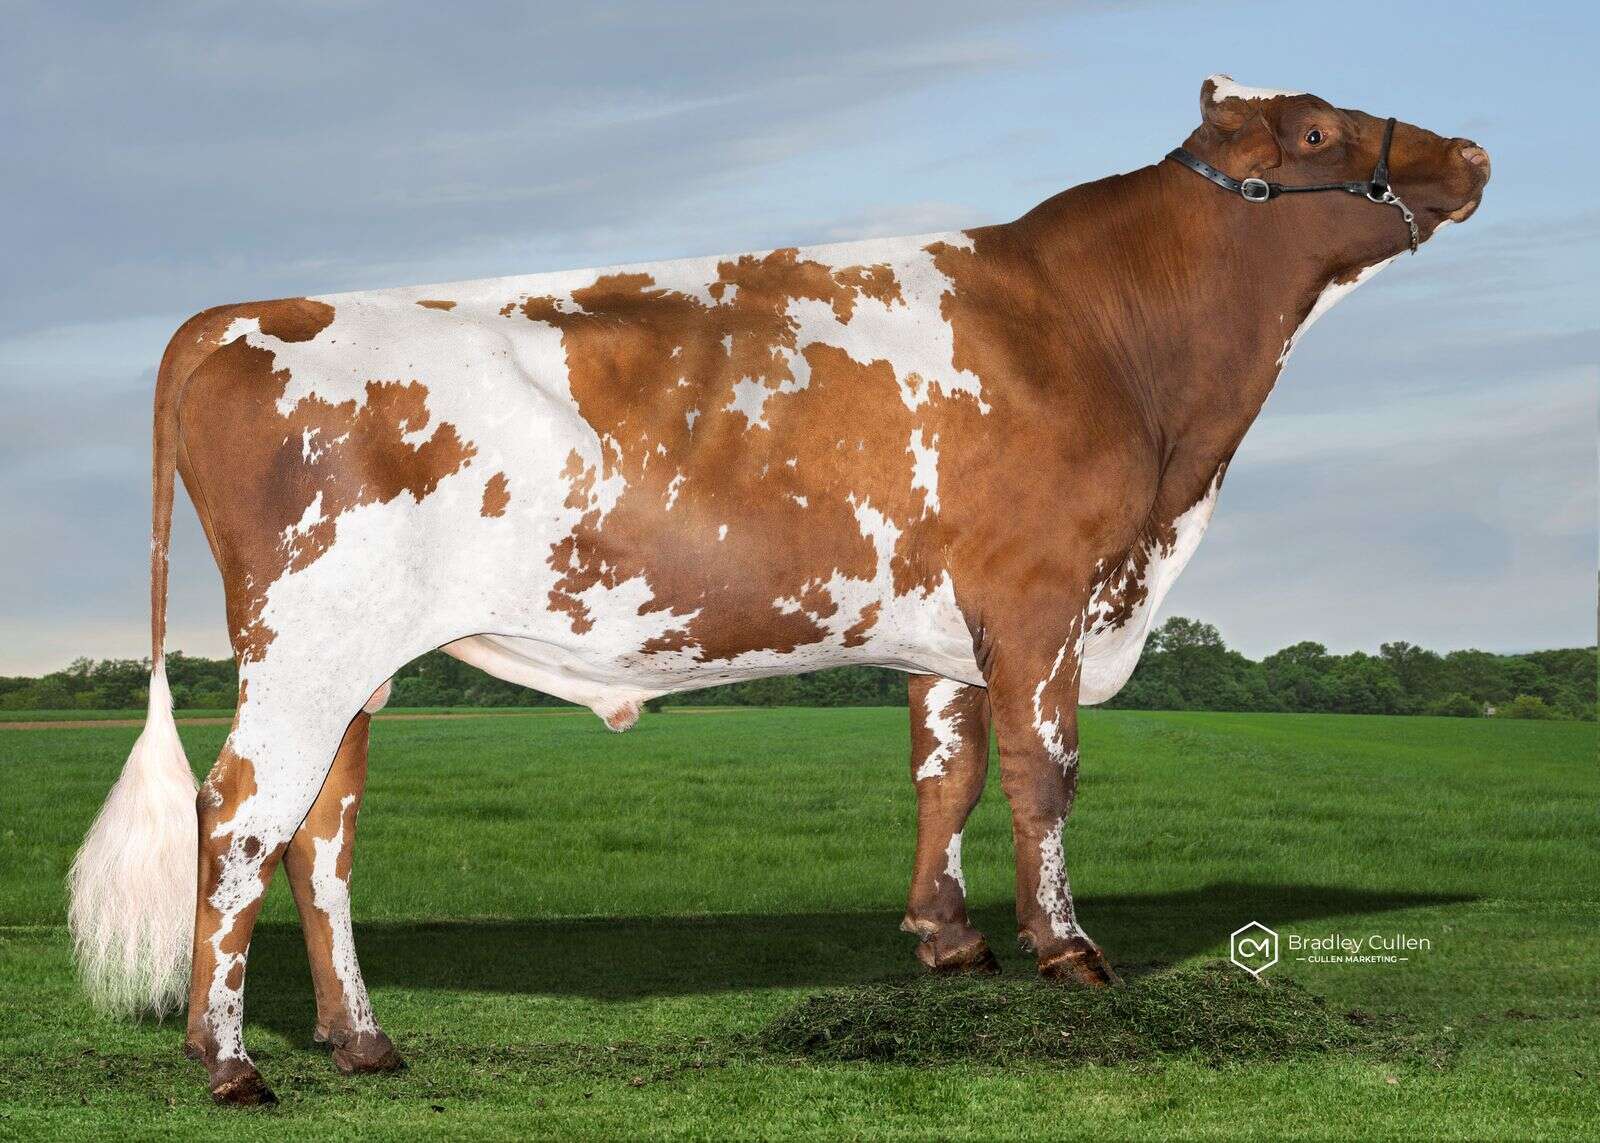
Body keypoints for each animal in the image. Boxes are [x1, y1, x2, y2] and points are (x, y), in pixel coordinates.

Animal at [68, 76, 1488, 1104]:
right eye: (1316, 130)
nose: (1471, 153)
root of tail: (252, 310)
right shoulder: (1040, 598)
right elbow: (1045, 775)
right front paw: (1068, 954)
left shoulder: (947, 629)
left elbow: (945, 774)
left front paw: (947, 944)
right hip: (306, 645)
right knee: (238, 817)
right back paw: (228, 1063)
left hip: (352, 664)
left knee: (322, 833)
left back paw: (362, 1044)